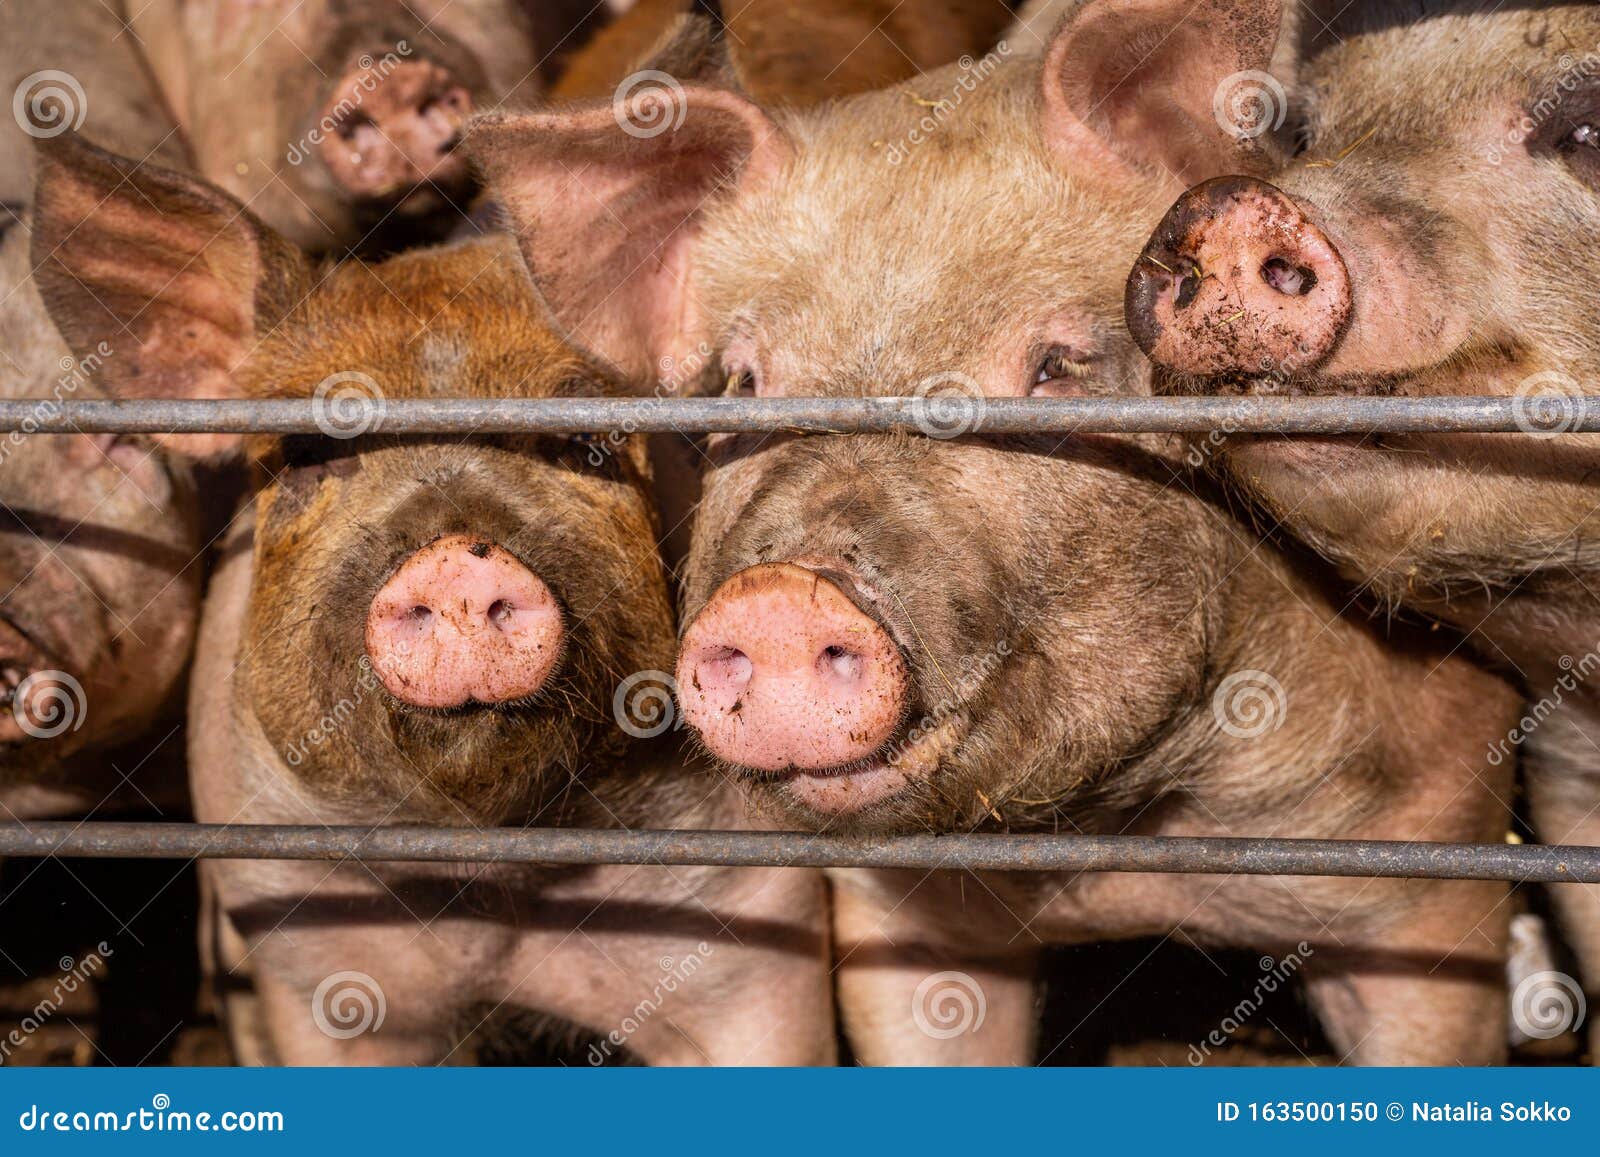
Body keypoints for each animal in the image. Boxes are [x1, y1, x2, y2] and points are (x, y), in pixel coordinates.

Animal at [30, 131, 834, 1065]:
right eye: (307, 449)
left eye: (587, 441)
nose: (457, 558)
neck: (497, 882)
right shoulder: (306, 942)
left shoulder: (752, 935)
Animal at [470, 0, 1520, 1064]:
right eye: (741, 386)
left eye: (1054, 367)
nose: (780, 599)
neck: (1124, 850)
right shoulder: (902, 923)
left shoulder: (1433, 851)